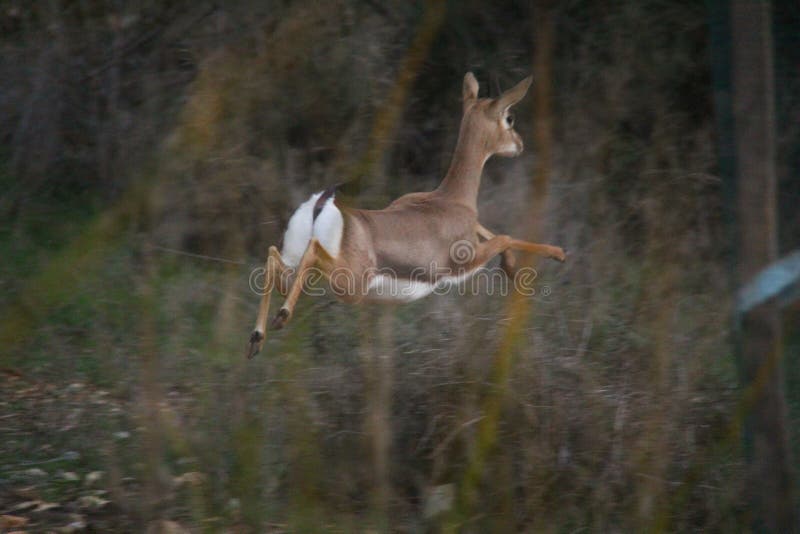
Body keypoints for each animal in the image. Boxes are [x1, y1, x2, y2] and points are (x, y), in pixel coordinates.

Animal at [247, 72, 566, 358]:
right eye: (509, 118)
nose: (520, 144)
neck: (451, 199)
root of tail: (321, 205)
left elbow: (491, 230)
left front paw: (534, 261)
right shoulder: (465, 261)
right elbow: (503, 236)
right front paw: (544, 258)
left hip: (296, 262)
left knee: (273, 255)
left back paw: (257, 338)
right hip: (348, 283)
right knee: (309, 253)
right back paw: (280, 318)